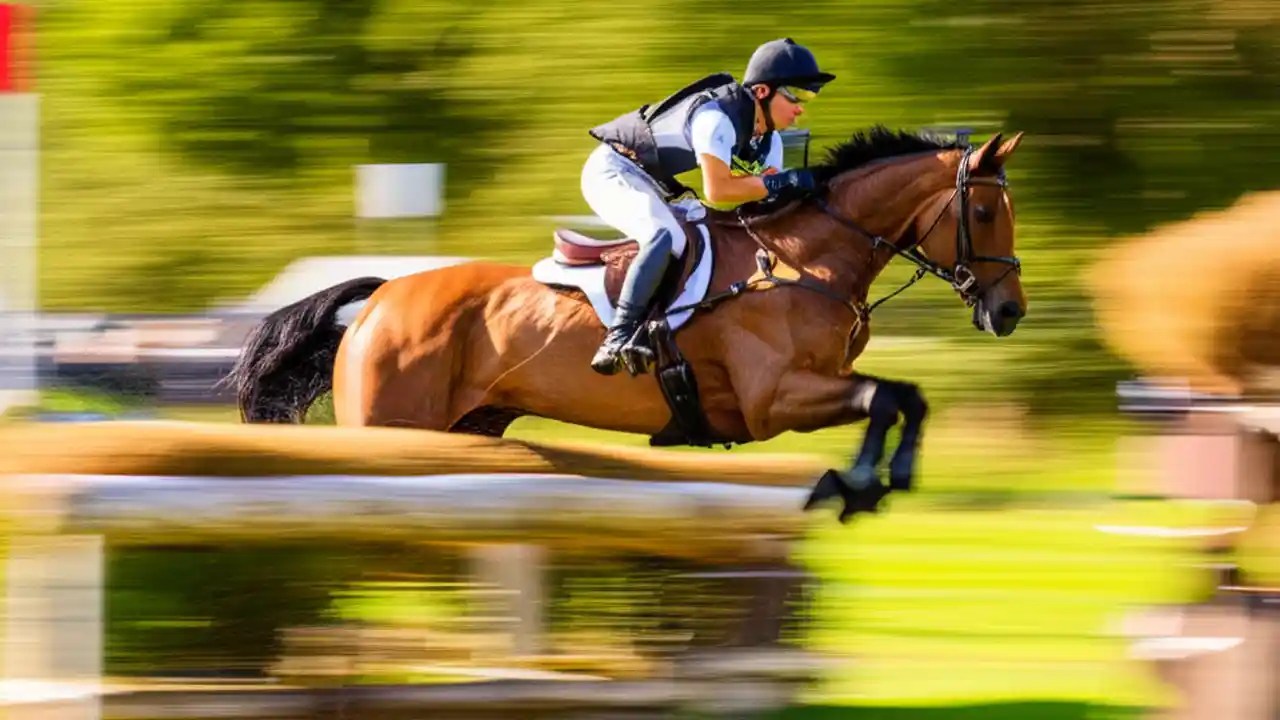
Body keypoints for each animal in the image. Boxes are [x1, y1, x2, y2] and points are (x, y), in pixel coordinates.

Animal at [223, 127, 1027, 521]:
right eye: (987, 210)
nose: (1009, 311)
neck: (806, 260)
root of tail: (383, 295)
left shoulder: (815, 384)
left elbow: (904, 395)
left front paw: (885, 478)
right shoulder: (778, 400)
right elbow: (885, 397)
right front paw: (858, 483)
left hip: (469, 426)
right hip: (389, 424)